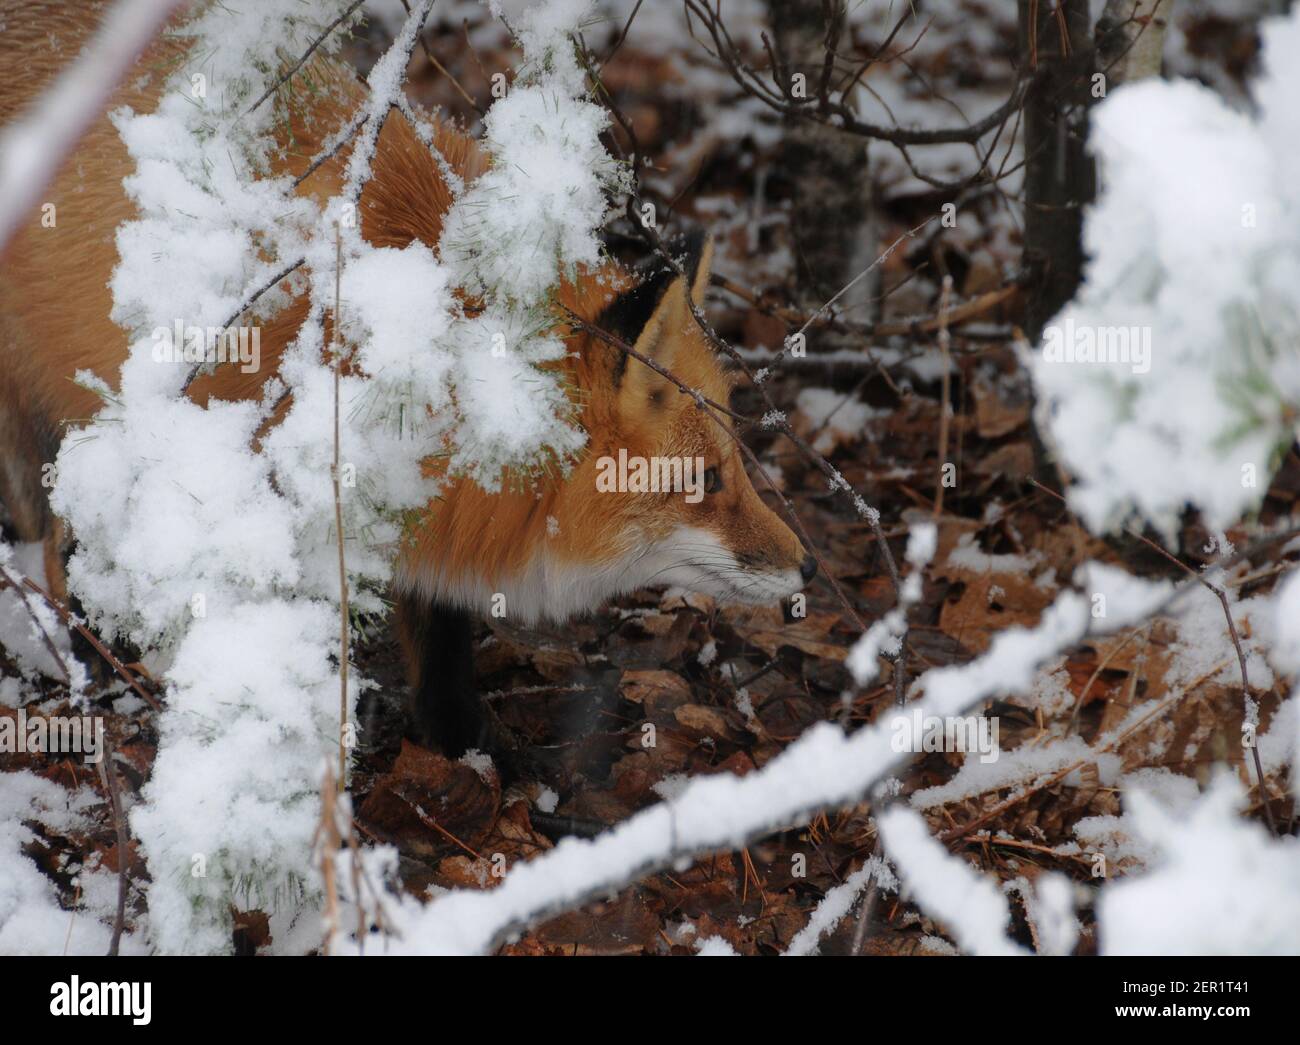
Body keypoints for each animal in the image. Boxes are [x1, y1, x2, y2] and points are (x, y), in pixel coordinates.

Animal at [0, 3, 814, 757]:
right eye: (706, 479)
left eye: (735, 463)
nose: (807, 565)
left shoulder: (420, 500)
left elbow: (440, 635)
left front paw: (464, 742)